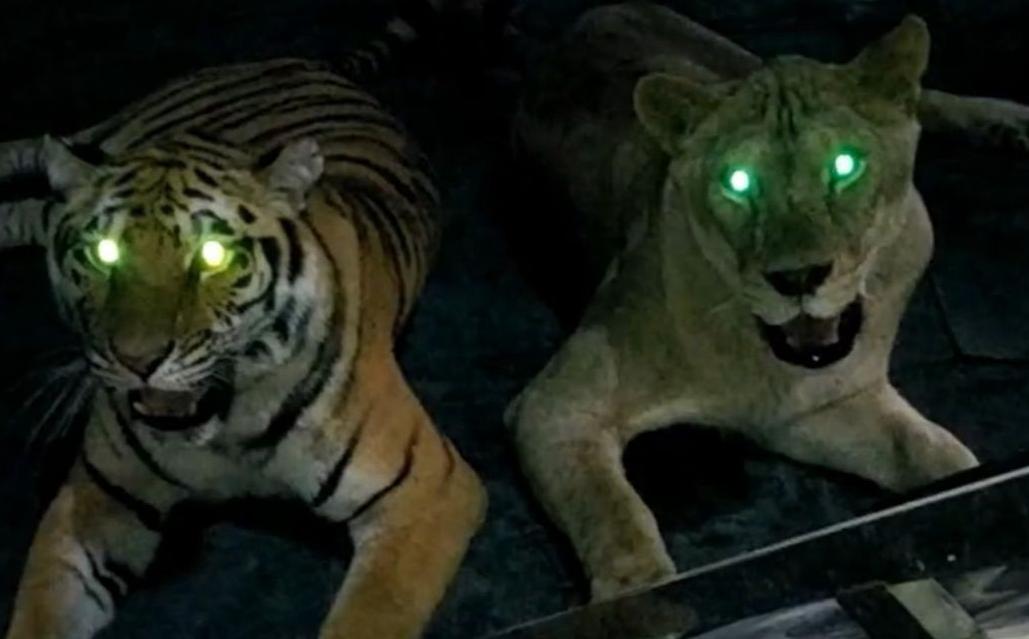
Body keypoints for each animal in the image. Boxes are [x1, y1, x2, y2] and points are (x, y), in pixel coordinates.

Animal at [0, 2, 486, 638]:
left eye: (212, 255)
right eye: (103, 252)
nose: (138, 361)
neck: (224, 427)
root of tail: (315, 66)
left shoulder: (428, 488)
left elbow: (369, 616)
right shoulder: (95, 501)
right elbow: (38, 615)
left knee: (27, 208)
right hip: (99, 134)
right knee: (34, 152)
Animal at [503, 2, 1029, 602]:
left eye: (845, 165)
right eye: (738, 180)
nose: (798, 276)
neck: (759, 356)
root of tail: (582, 23)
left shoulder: (826, 402)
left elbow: (939, 455)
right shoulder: (555, 408)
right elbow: (612, 511)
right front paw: (639, 591)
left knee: (921, 95)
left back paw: (1006, 120)